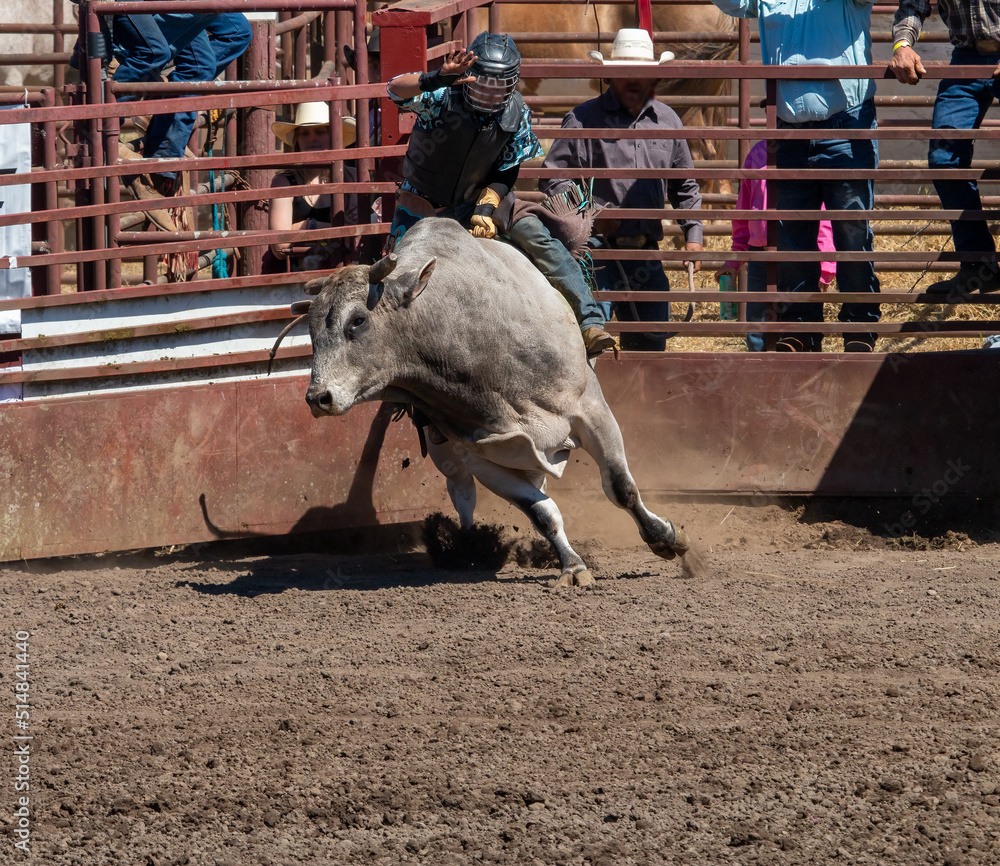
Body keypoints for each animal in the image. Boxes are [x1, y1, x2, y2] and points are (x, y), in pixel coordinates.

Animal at [284, 218, 689, 586]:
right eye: (311, 329)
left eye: (357, 320)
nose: (318, 397)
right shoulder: (484, 455)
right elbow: (542, 513)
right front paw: (572, 566)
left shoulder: (590, 409)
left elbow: (621, 487)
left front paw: (665, 538)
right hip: (449, 455)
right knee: (463, 491)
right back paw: (468, 545)